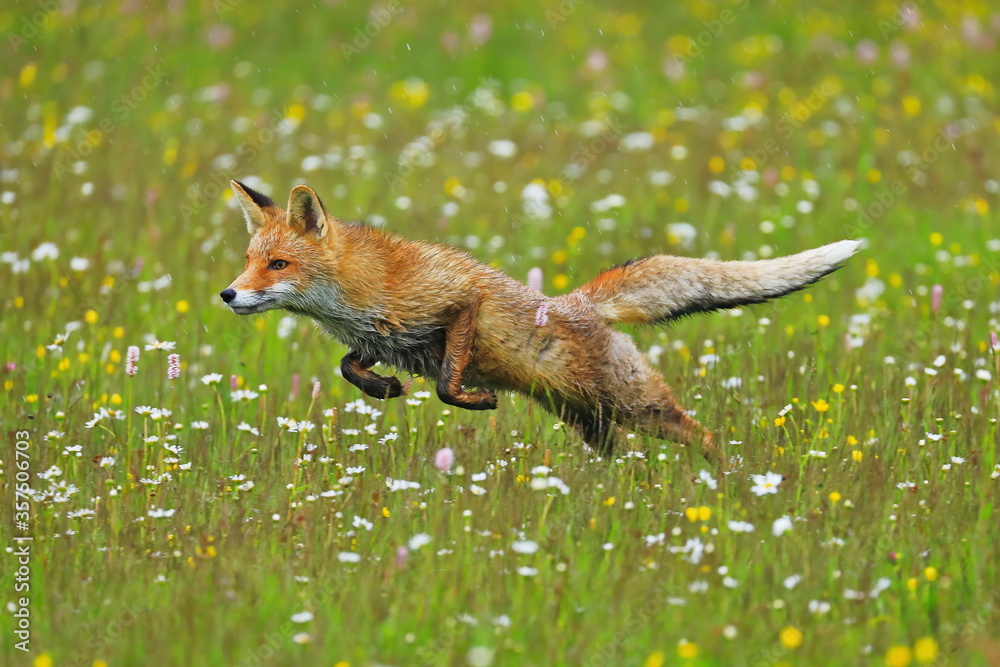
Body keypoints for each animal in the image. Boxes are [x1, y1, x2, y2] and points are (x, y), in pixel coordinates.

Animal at [221, 180, 859, 461]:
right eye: (250, 259)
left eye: (278, 265)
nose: (227, 294)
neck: (361, 291)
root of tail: (580, 303)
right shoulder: (380, 338)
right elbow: (350, 367)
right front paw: (383, 389)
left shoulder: (459, 302)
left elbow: (449, 383)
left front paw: (475, 400)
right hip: (590, 421)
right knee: (624, 456)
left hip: (636, 405)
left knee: (702, 434)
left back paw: (731, 485)